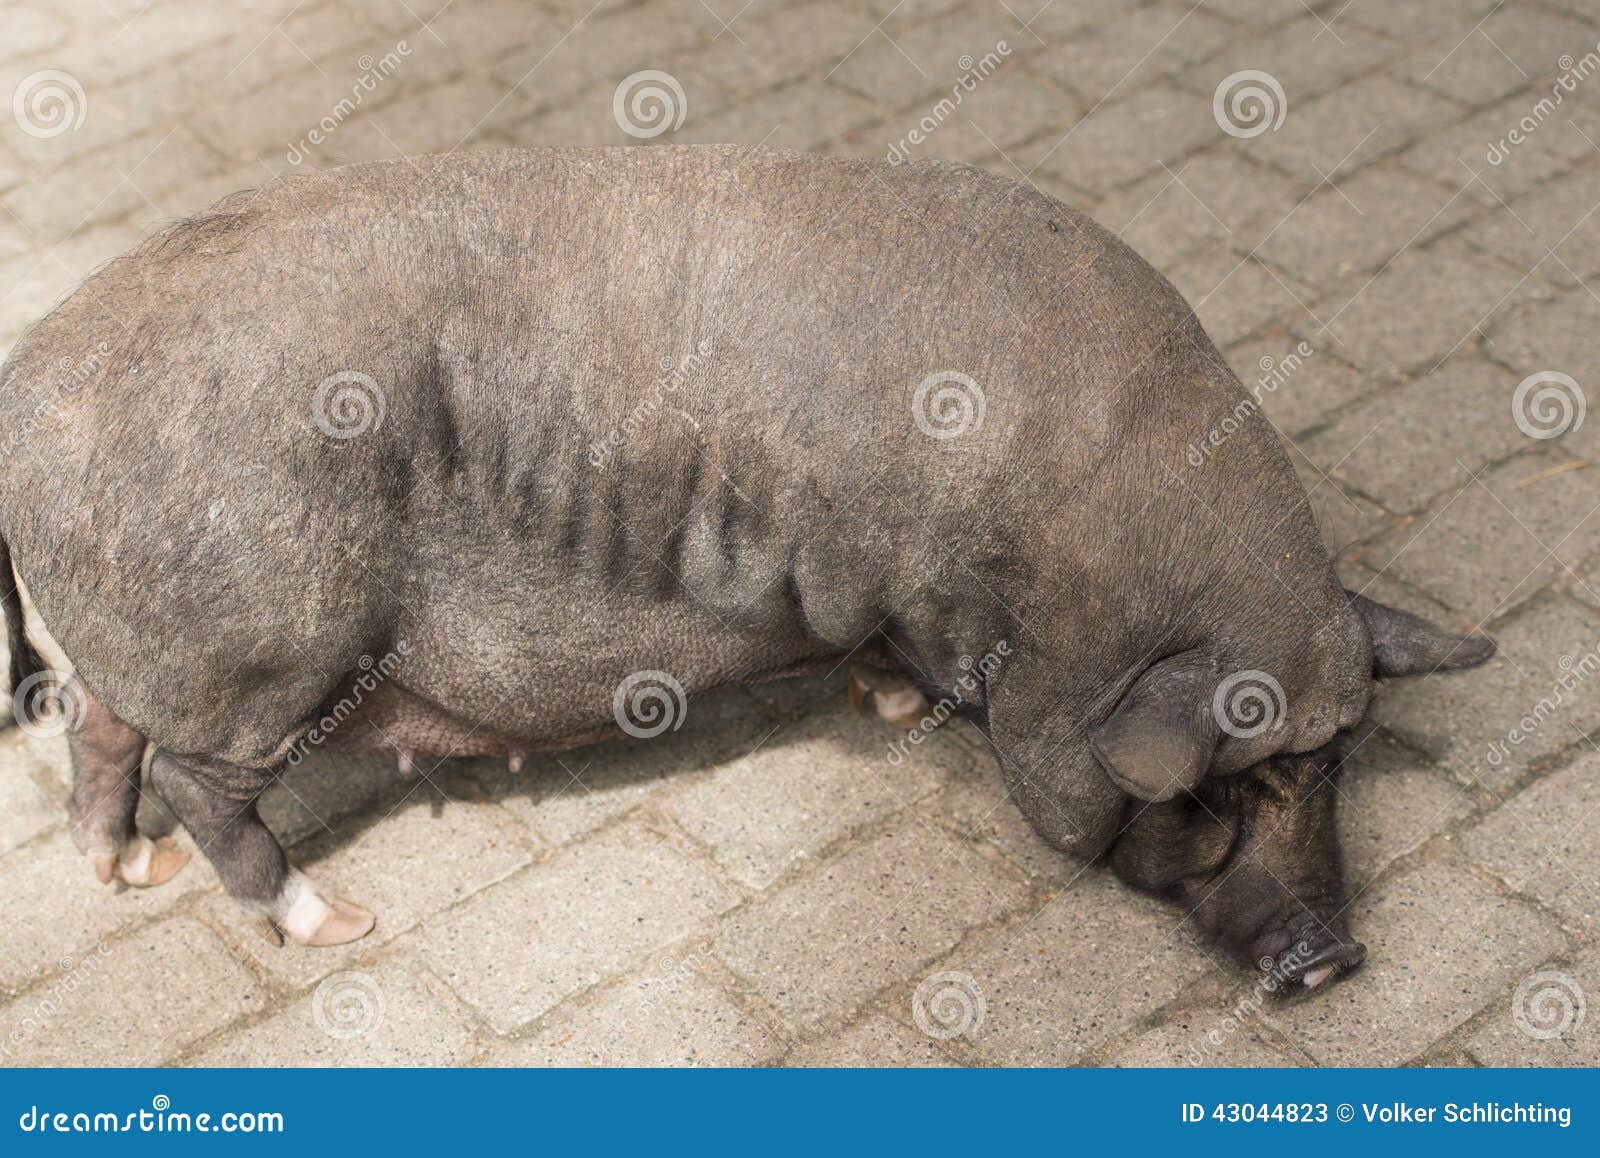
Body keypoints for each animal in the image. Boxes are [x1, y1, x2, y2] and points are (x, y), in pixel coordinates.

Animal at [0, 145, 1493, 983]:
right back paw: (337, 924)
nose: (1334, 961)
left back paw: (127, 877)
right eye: (1229, 782)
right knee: (204, 784)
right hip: (266, 650)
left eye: (1338, 764)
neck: (1064, 586)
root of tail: (25, 386)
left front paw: (884, 701)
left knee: (101, 733)